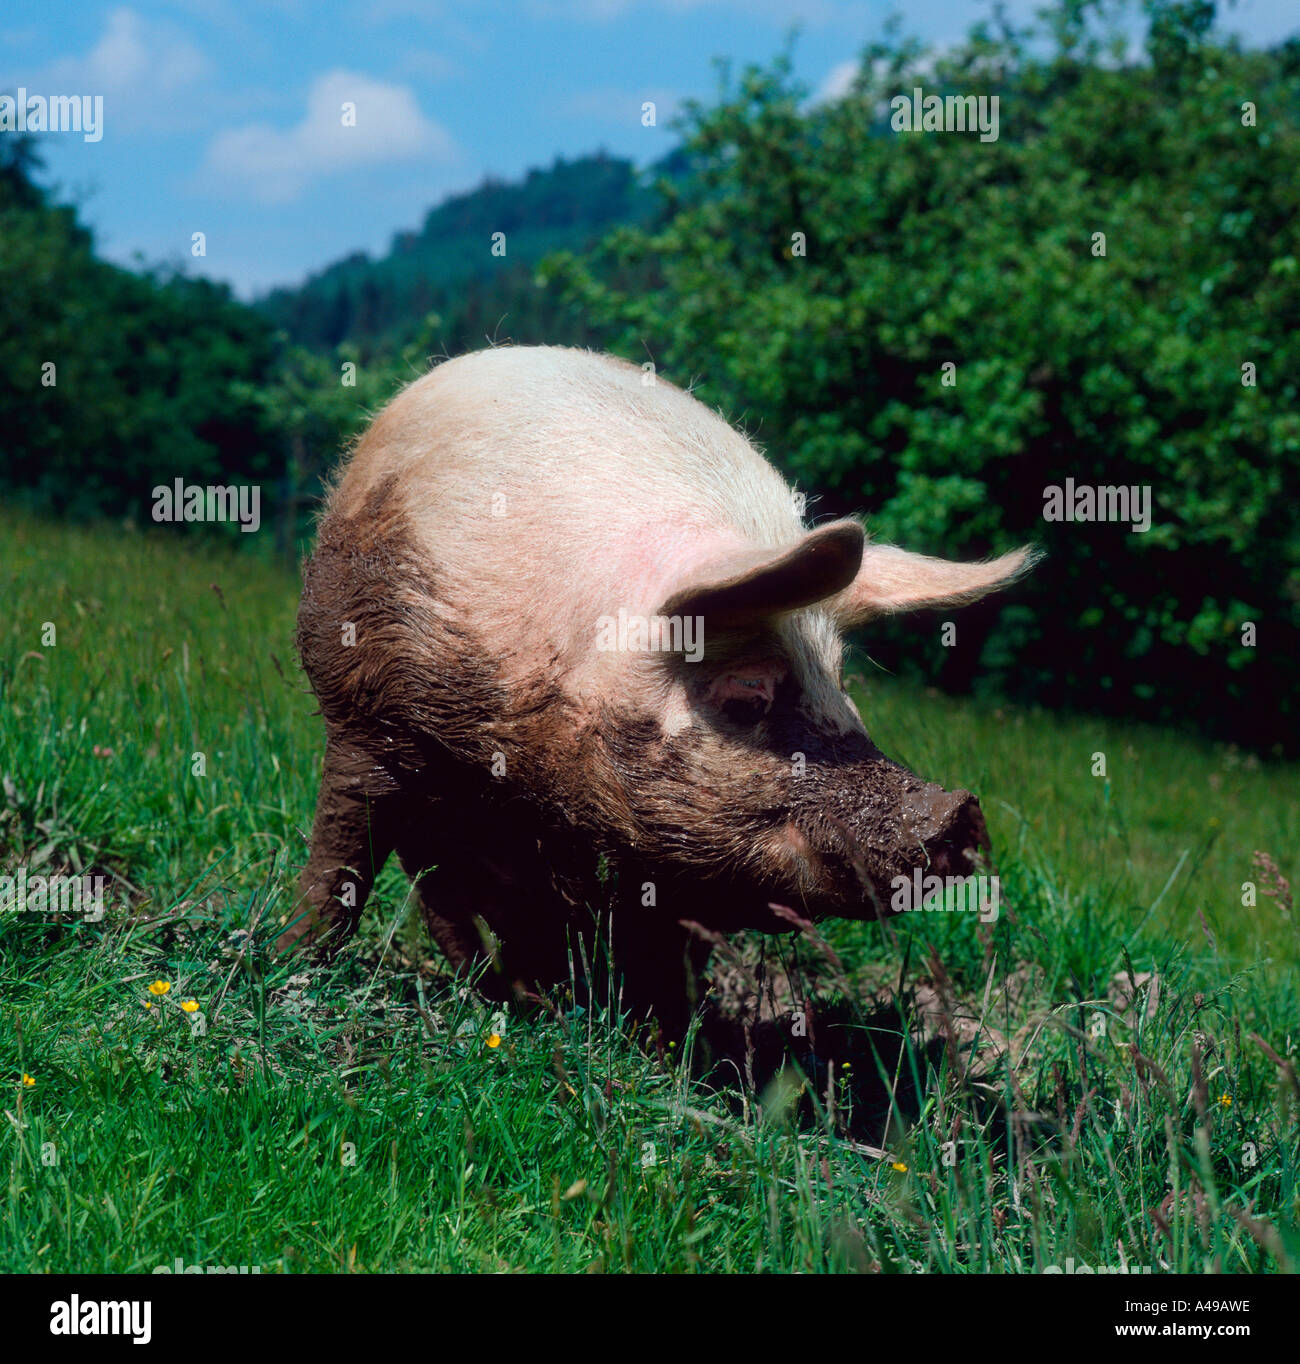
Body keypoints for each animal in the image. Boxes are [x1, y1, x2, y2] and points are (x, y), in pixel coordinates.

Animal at [277, 345, 1036, 1033]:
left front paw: (668, 1050)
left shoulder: (671, 858)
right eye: (746, 695)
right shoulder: (366, 712)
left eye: (843, 684)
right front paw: (289, 963)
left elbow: (659, 955)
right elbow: (344, 854)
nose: (955, 810)